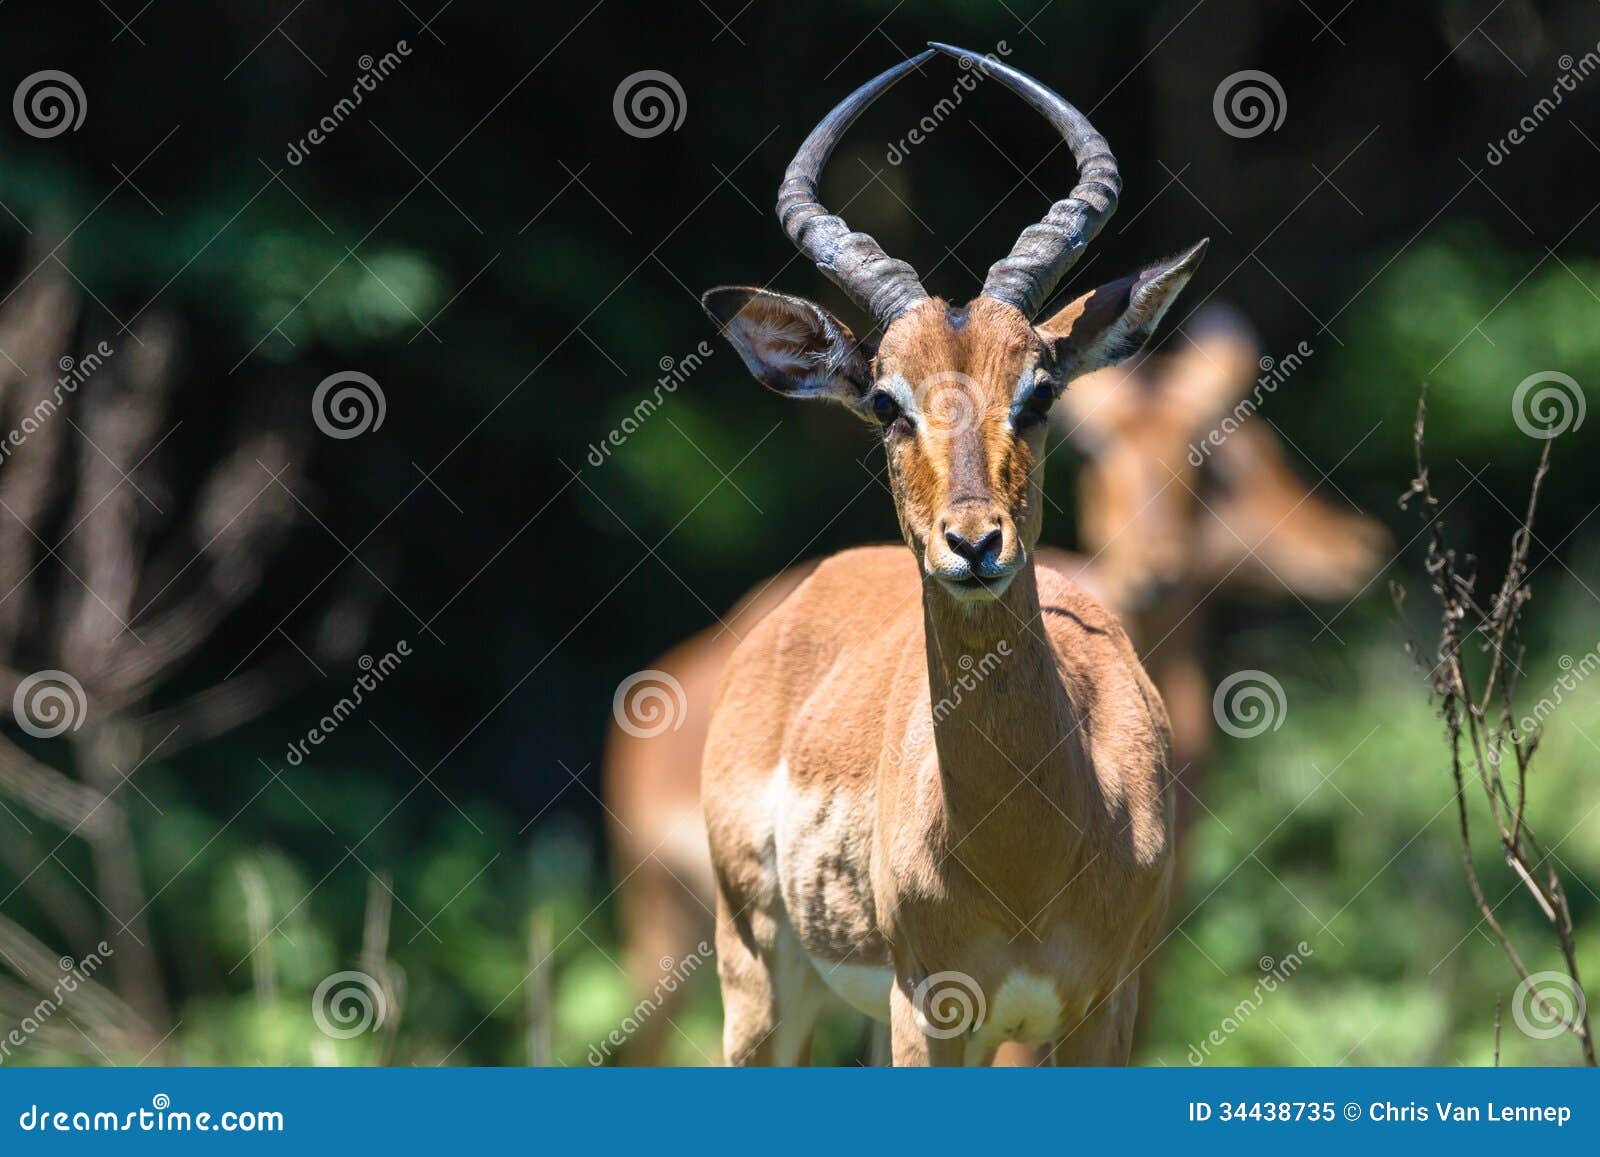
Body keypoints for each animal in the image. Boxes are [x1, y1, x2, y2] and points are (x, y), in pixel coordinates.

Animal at [697, 44, 1206, 1066]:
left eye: (1040, 390)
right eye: (887, 401)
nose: (975, 543)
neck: (1027, 856)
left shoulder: (1104, 1009)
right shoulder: (929, 1006)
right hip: (759, 979)